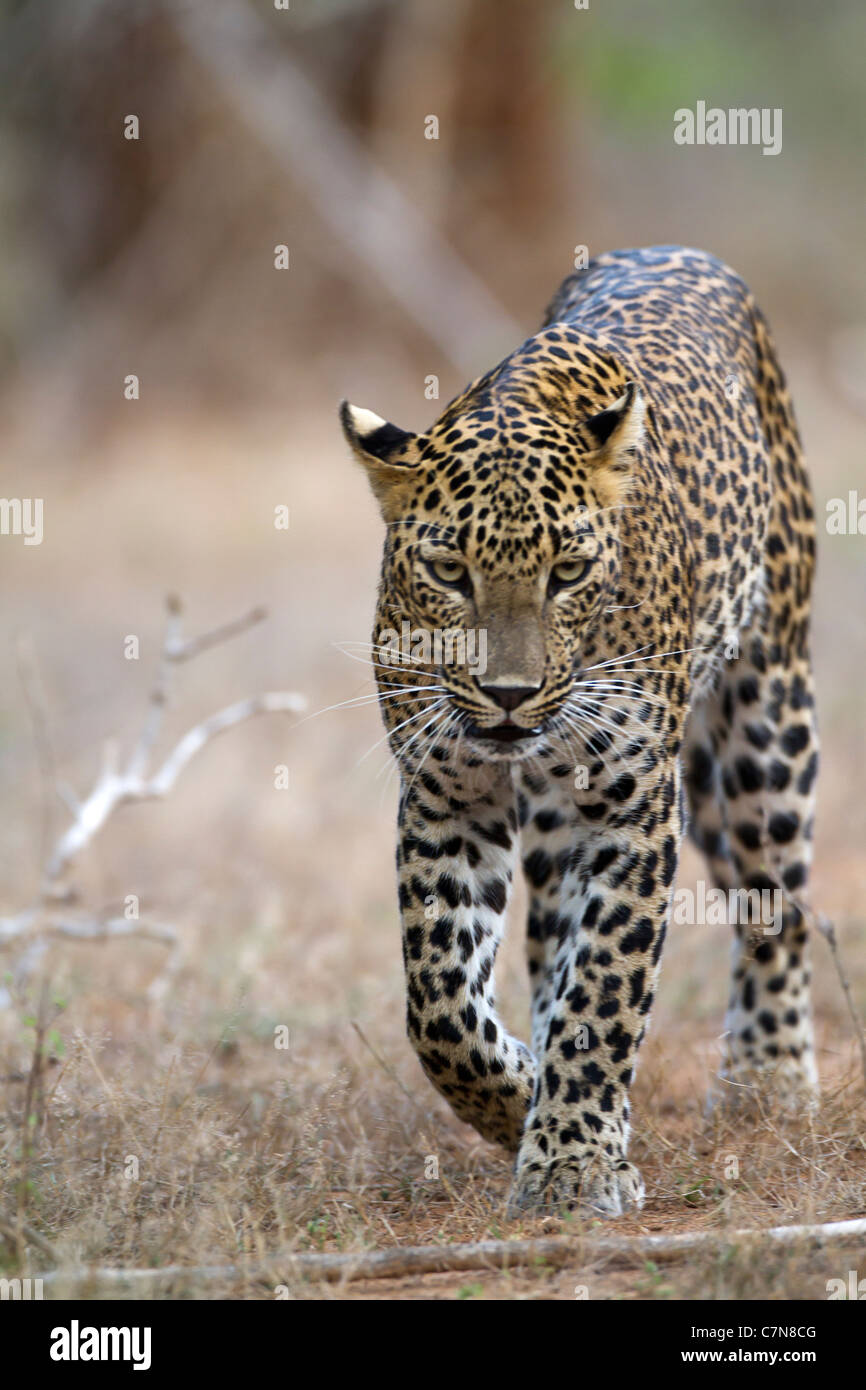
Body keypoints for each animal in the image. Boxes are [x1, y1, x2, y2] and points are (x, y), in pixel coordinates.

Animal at [339, 245, 820, 1216]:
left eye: (567, 572)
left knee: (774, 901)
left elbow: (605, 986)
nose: (510, 696)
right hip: (561, 829)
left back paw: (771, 1076)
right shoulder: (448, 793)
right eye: (448, 571)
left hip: (766, 718)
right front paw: (521, 1099)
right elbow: (440, 1002)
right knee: (546, 942)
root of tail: (681, 249)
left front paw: (572, 1160)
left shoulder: (633, 803)